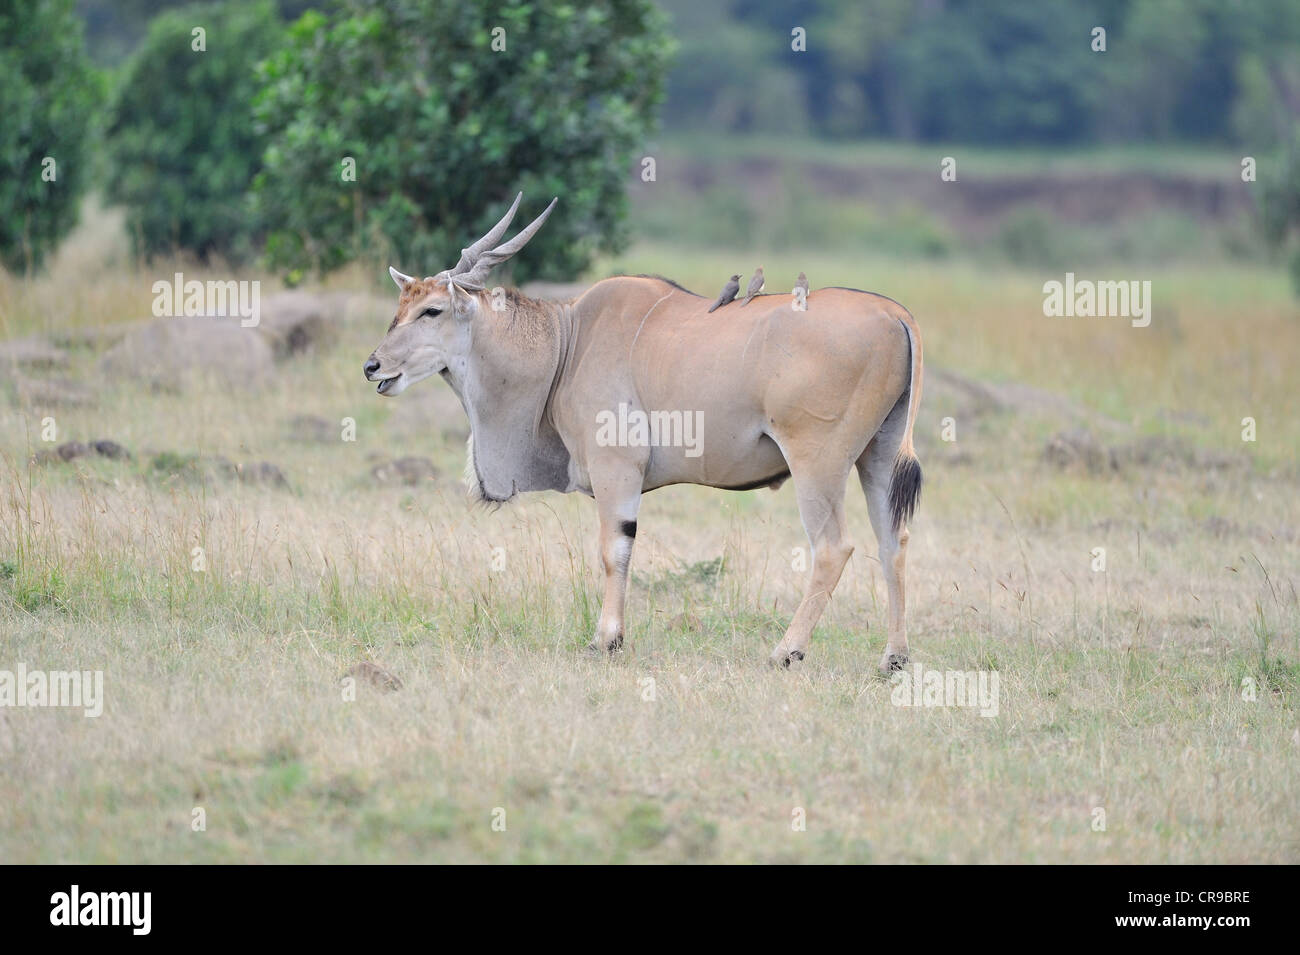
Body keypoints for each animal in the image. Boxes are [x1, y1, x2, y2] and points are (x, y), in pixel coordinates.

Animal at [364, 194, 923, 672]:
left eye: (432, 310)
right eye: (400, 307)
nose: (373, 367)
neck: (565, 344)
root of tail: (897, 315)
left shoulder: (617, 470)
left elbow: (615, 550)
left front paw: (606, 640)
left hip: (817, 462)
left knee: (834, 547)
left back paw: (786, 651)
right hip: (877, 457)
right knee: (892, 540)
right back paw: (893, 658)